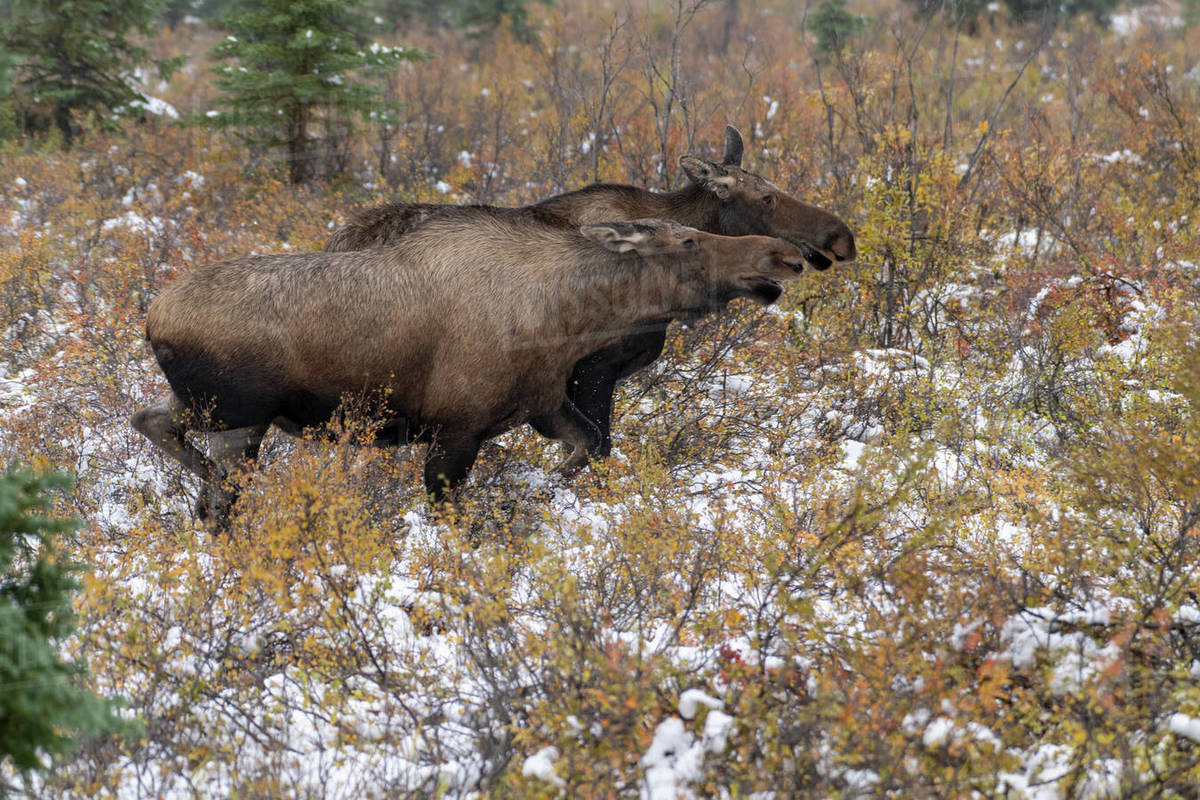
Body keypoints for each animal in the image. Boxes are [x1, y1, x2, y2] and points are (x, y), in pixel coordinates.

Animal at [132, 215, 811, 528]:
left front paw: (543, 492)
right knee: (213, 488)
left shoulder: (541, 405)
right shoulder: (456, 428)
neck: (567, 315)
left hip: (214, 411)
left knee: (151, 421)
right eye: (689, 242)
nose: (787, 254)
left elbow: (591, 446)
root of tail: (151, 319)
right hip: (238, 419)